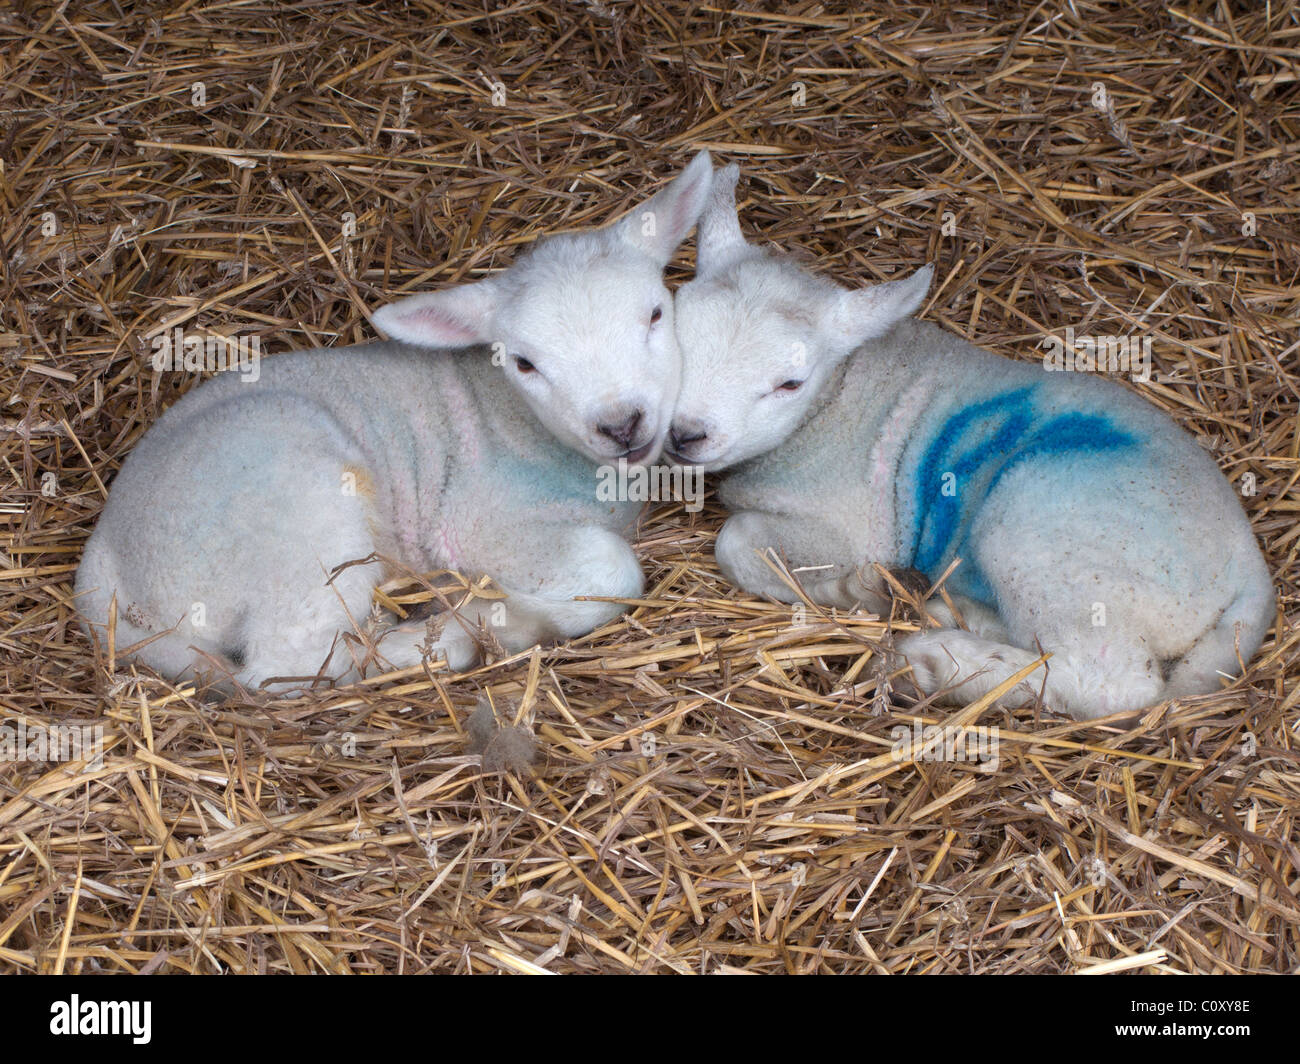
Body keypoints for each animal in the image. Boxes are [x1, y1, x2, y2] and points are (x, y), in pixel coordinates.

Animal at [75, 151, 715, 694]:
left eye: (655, 315)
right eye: (525, 363)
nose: (621, 424)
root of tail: (102, 568)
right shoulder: (485, 523)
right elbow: (613, 575)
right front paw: (497, 611)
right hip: (295, 515)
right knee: (287, 664)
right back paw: (445, 638)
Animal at [667, 164, 1275, 721]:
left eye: (789, 383)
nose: (683, 433)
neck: (835, 400)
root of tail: (1249, 568)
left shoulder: (852, 529)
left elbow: (737, 542)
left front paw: (855, 591)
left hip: (1050, 537)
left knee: (1105, 681)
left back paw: (932, 662)